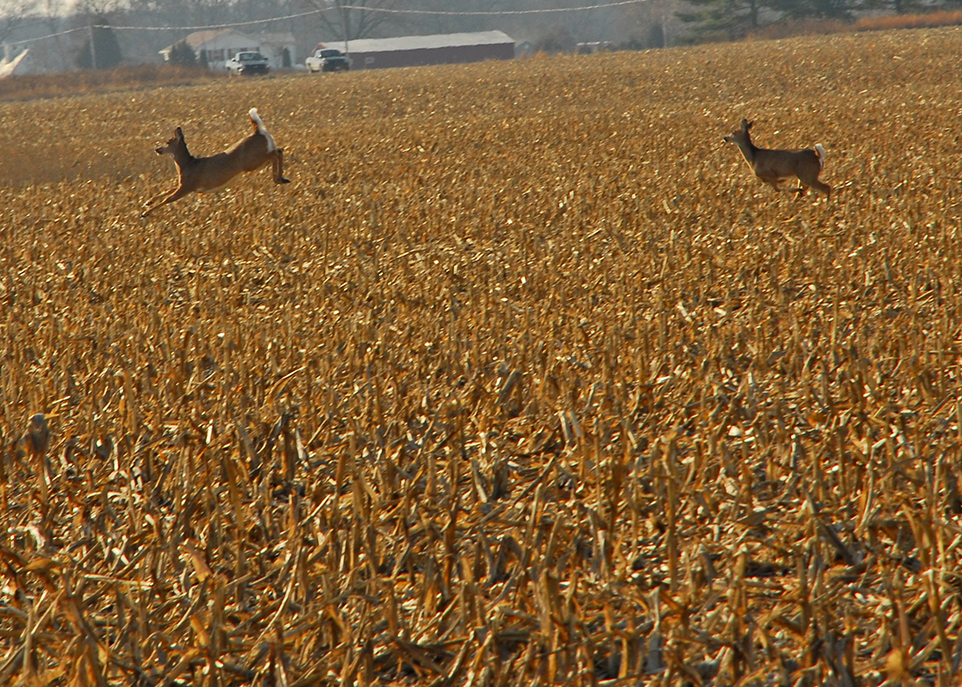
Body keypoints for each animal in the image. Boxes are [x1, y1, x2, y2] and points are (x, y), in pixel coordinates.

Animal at [142, 108, 290, 217]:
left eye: (168, 142)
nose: (157, 149)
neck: (186, 165)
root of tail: (258, 131)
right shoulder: (185, 185)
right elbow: (167, 190)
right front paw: (148, 201)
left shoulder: (187, 186)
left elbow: (168, 198)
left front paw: (145, 213)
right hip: (258, 161)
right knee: (277, 151)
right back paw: (280, 178)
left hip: (251, 161)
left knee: (277, 152)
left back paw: (279, 178)